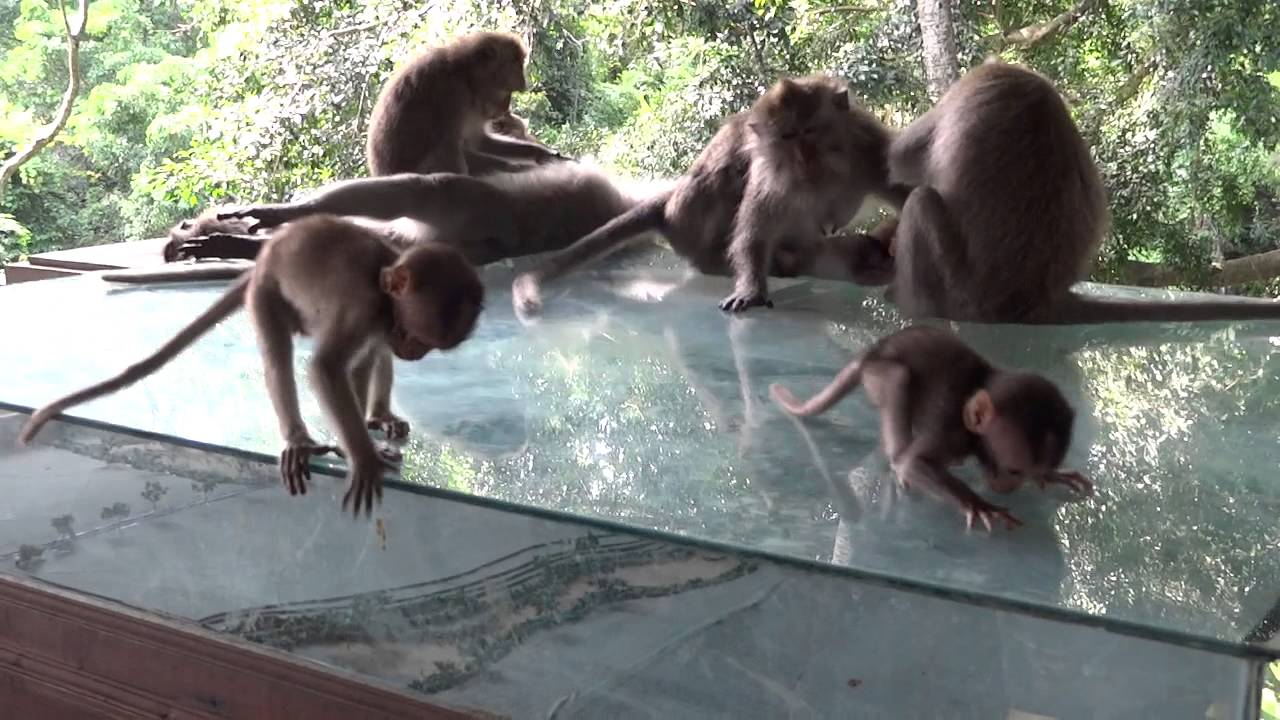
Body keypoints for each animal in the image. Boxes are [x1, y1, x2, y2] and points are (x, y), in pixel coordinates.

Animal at [20, 215, 484, 517]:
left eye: (425, 344)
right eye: (414, 335)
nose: (414, 352)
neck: (384, 277)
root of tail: (264, 259)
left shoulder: (379, 318)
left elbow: (365, 358)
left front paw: (372, 428)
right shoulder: (367, 308)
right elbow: (327, 368)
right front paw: (364, 459)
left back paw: (373, 415)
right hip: (265, 293)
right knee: (280, 351)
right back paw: (298, 438)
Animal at [366, 30, 568, 178]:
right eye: (506, 91)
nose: (504, 108)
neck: (465, 76)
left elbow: (479, 141)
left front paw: (541, 153)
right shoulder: (452, 93)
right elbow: (450, 147)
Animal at [509, 74, 911, 318]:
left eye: (811, 131)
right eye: (787, 137)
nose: (803, 158)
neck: (824, 175)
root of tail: (670, 205)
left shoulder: (869, 149)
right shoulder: (772, 174)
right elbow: (754, 230)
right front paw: (751, 288)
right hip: (691, 218)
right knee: (728, 173)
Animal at [769, 325, 1092, 532]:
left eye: (1028, 474)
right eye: (1013, 470)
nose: (1007, 489)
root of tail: (870, 353)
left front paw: (1054, 475)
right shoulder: (951, 431)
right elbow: (914, 463)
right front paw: (977, 504)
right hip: (877, 376)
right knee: (898, 380)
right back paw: (898, 463)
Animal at [883, 59, 1280, 324]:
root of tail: (1036, 297)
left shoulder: (973, 85)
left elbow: (898, 160)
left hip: (962, 293)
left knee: (922, 202)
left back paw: (913, 304)